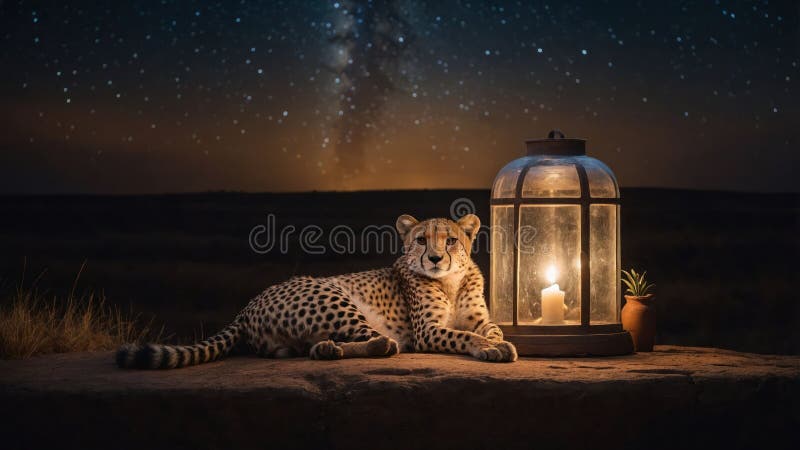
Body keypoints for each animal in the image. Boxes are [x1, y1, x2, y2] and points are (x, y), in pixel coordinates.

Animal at [116, 213, 517, 369]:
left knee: (308, 350)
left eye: (451, 241)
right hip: (333, 296)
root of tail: (249, 303)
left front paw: (498, 341)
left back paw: (325, 349)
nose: (434, 258)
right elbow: (461, 336)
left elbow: (490, 328)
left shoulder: (477, 317)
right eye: (420, 240)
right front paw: (489, 348)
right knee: (383, 342)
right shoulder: (427, 331)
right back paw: (348, 347)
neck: (450, 282)